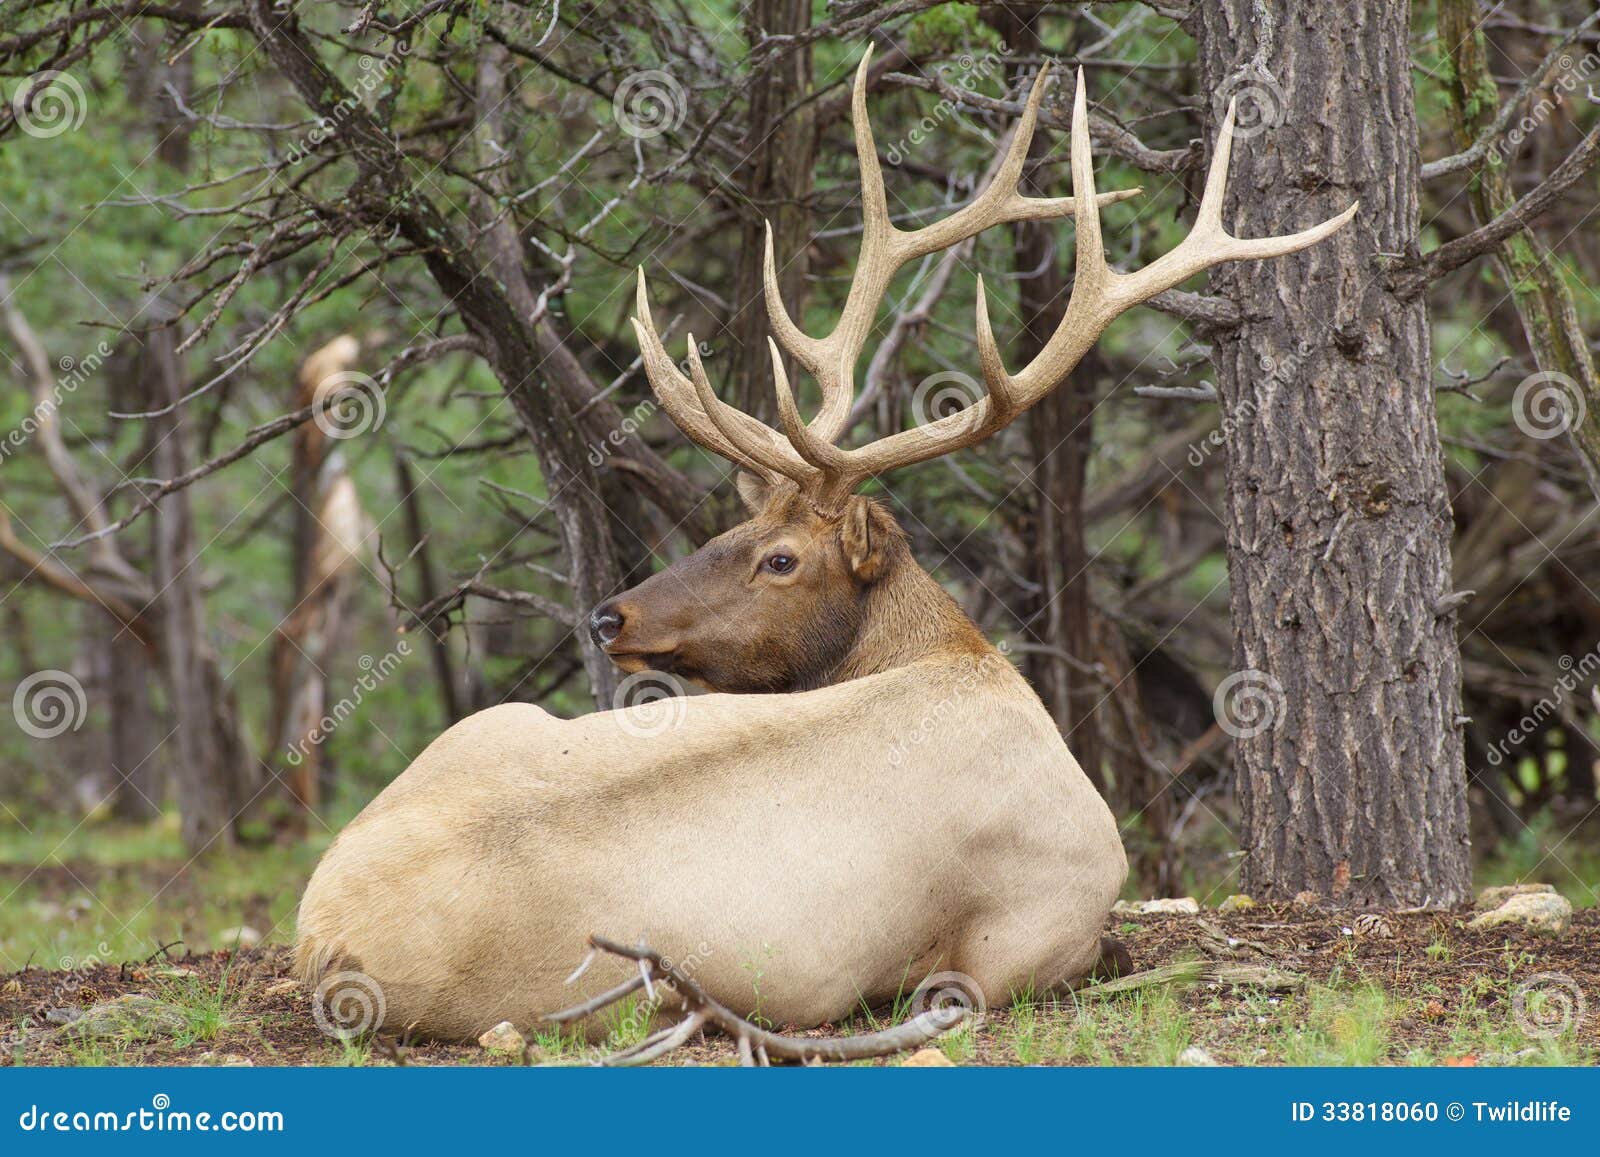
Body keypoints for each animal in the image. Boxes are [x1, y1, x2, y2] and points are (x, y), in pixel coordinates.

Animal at [293, 49, 1355, 1046]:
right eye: (734, 529)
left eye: (777, 555)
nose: (609, 614)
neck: (961, 659)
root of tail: (316, 935)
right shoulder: (1037, 921)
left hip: (495, 721)